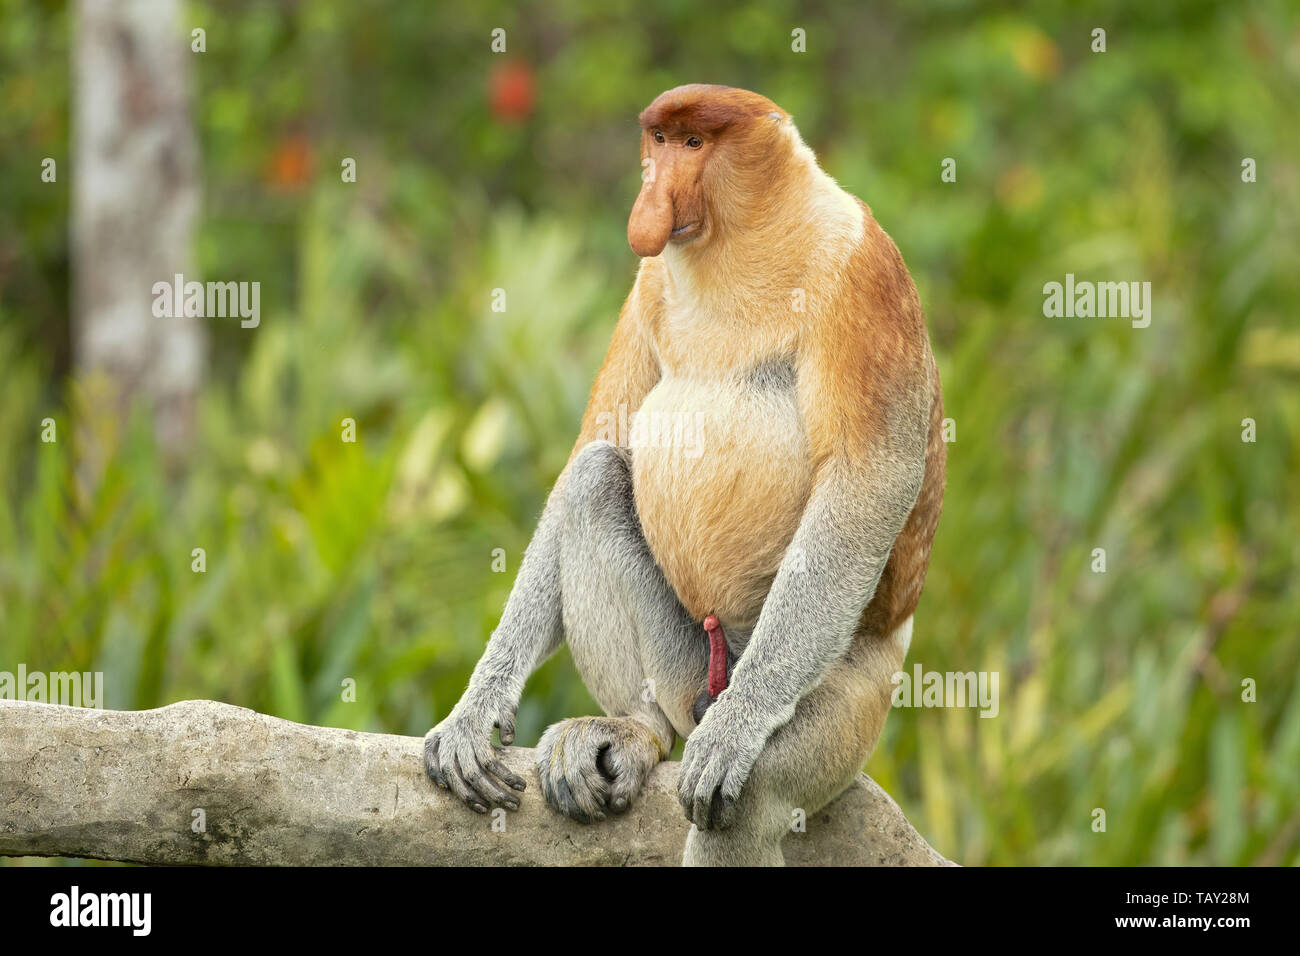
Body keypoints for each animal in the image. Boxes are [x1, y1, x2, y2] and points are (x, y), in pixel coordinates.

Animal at [424, 84, 945, 866]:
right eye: (660, 140)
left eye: (695, 144)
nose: (651, 196)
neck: (740, 240)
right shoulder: (648, 285)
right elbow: (595, 443)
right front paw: (471, 716)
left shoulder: (863, 270)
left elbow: (867, 482)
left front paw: (737, 729)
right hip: (683, 665)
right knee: (593, 481)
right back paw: (633, 733)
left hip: (857, 700)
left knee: (753, 798)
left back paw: (720, 728)